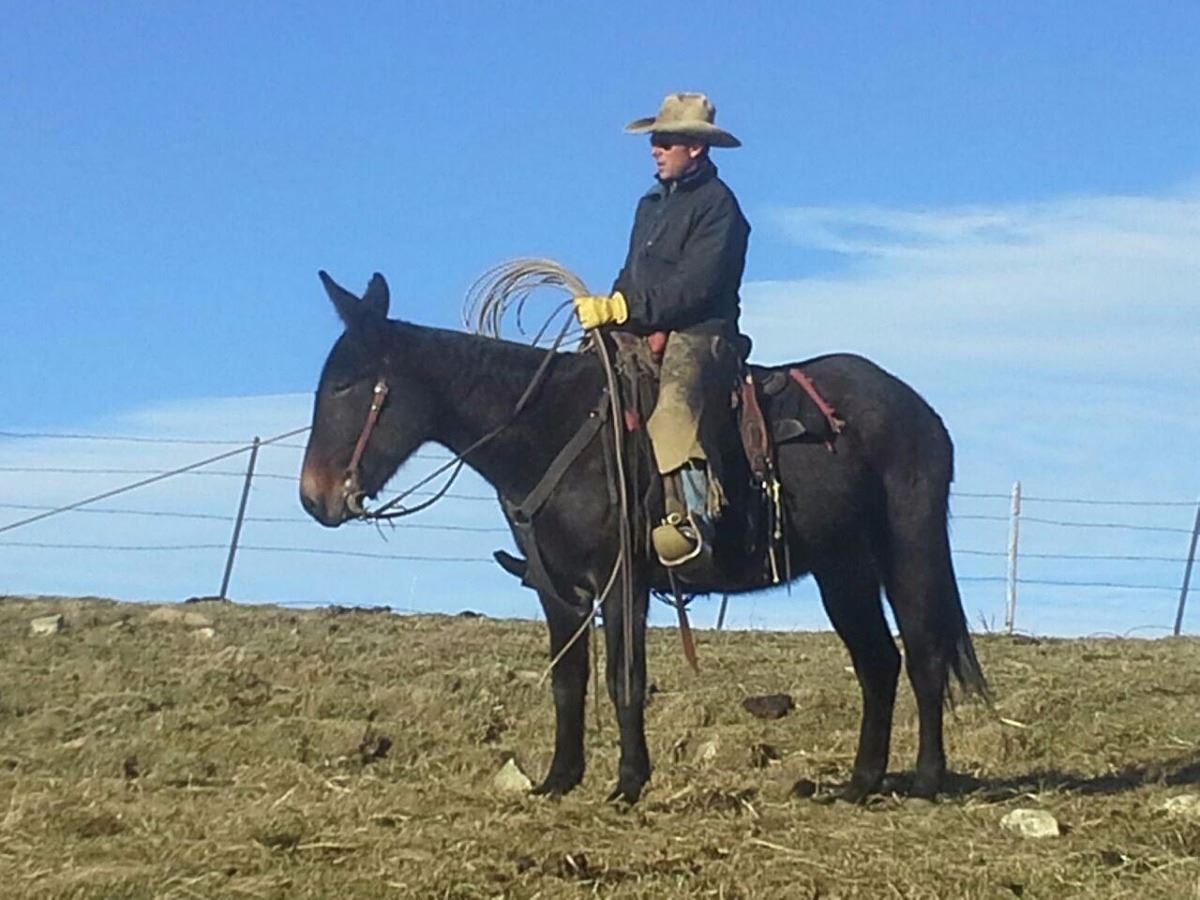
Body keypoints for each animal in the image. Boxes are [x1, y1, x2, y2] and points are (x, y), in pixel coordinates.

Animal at [299, 271, 988, 804]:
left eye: (344, 384)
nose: (314, 497)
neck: (553, 430)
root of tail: (920, 411)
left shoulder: (619, 584)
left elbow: (622, 680)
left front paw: (629, 782)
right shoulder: (557, 591)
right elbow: (567, 682)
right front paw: (559, 779)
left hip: (908, 550)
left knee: (924, 655)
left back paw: (926, 780)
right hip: (843, 569)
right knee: (878, 662)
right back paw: (861, 782)